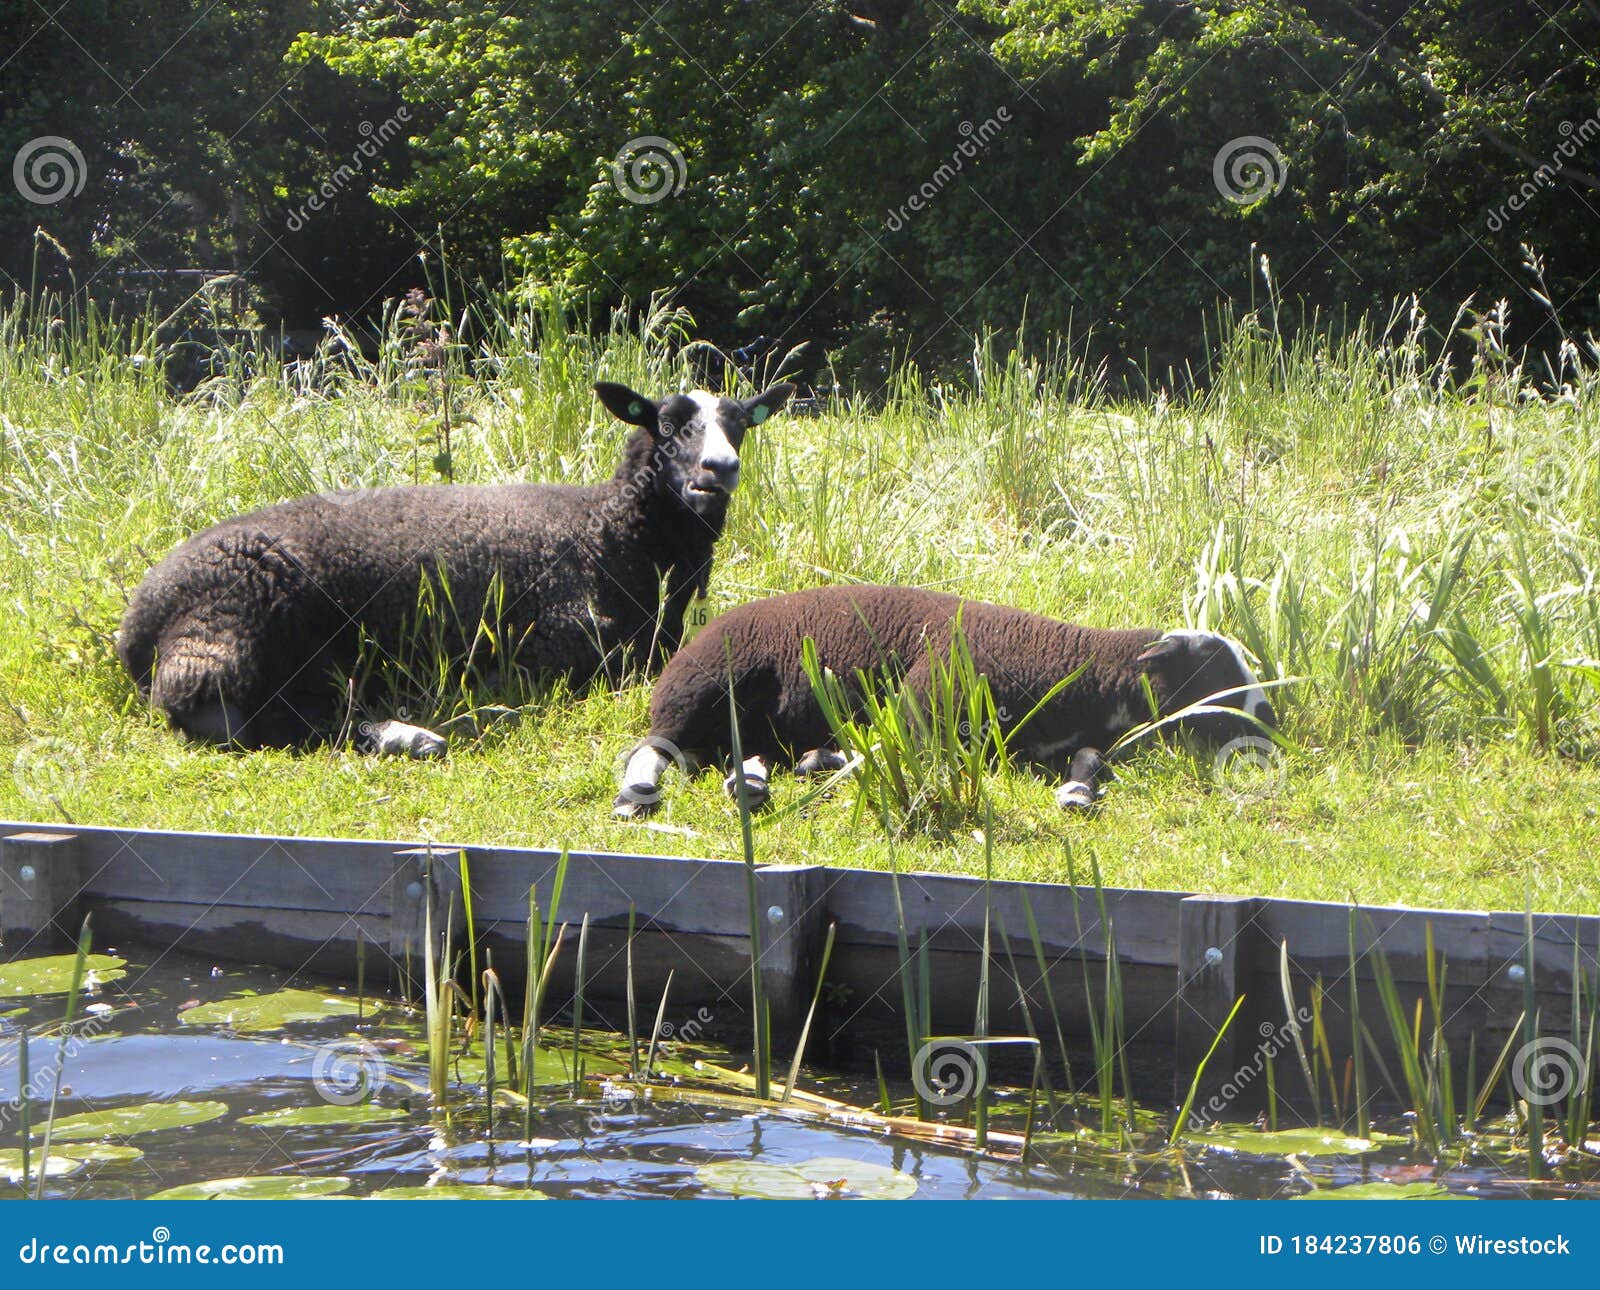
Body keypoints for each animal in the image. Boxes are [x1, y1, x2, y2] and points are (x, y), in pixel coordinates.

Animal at [118, 381, 795, 754]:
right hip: (226, 628)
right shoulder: (562, 640)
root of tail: (139, 619)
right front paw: (496, 686)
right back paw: (414, 733)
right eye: (668, 424)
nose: (718, 470)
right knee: (239, 719)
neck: (611, 528)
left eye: (740, 426)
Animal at [612, 584, 1275, 816]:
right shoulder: (925, 698)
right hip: (699, 687)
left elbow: (1089, 761)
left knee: (743, 755)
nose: (1270, 724)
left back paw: (753, 783)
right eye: (1216, 673)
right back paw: (635, 795)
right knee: (655, 748)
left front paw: (1078, 792)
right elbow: (906, 750)